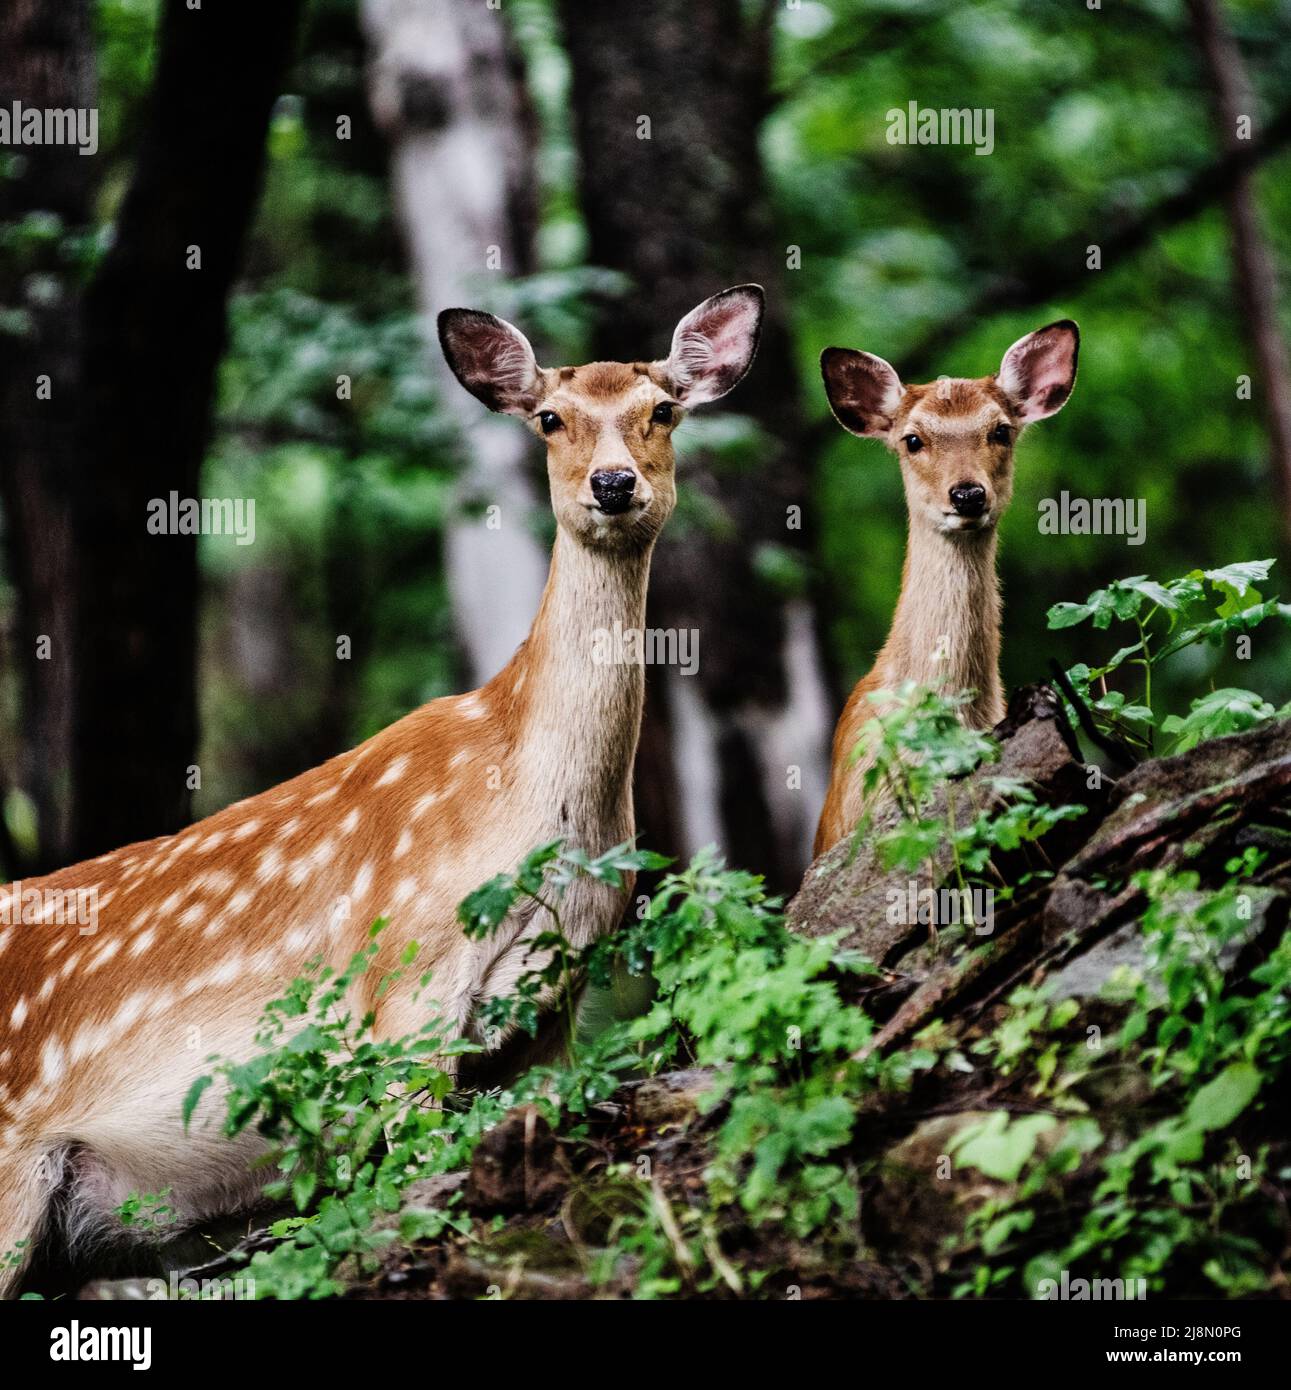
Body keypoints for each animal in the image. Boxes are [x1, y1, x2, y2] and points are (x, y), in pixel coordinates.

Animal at [0, 285, 765, 1295]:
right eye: (551, 418)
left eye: (663, 410)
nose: (611, 485)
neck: (545, 813)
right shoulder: (402, 983)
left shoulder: (553, 1006)